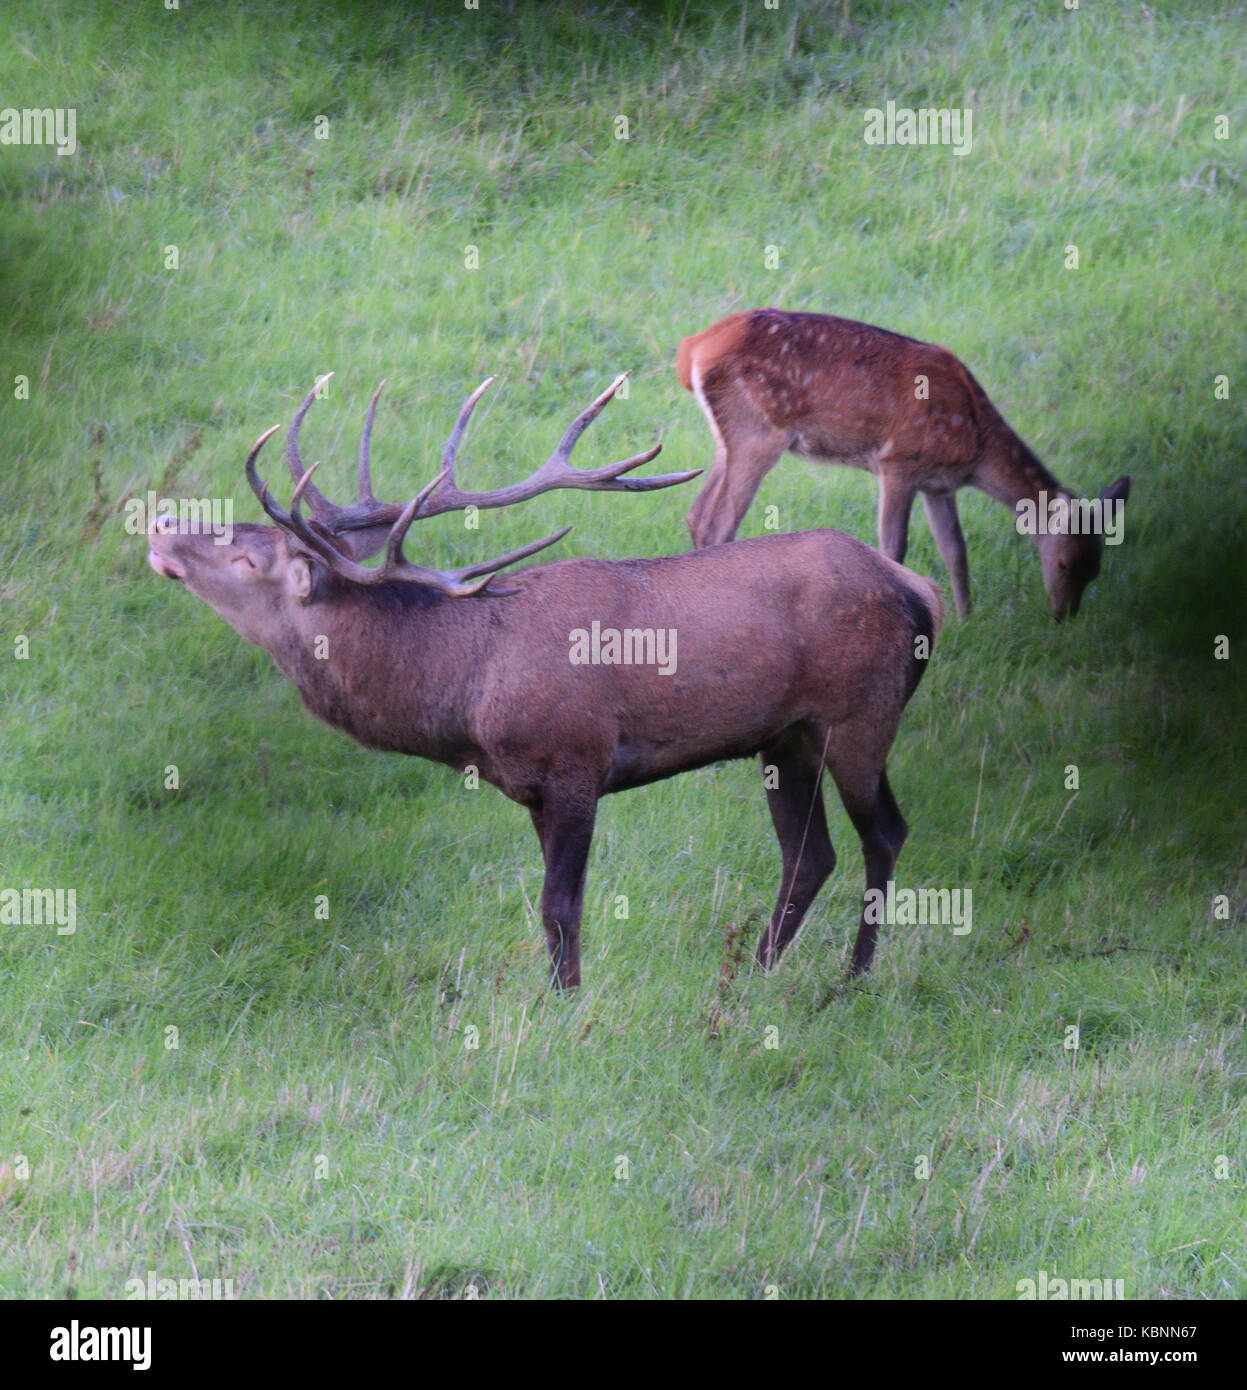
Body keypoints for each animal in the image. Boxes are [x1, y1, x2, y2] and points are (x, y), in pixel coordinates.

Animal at [147, 373, 942, 989]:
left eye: (250, 559)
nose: (158, 523)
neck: (467, 691)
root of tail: (919, 592)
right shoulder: (530, 787)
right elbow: (562, 914)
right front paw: (566, 994)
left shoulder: (575, 760)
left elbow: (558, 908)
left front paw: (559, 1007)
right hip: (784, 739)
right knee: (809, 855)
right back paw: (754, 973)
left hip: (860, 715)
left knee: (886, 833)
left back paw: (852, 977)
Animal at [679, 308, 1131, 620]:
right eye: (1064, 563)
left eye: (1096, 568)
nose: (1063, 617)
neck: (975, 444)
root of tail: (693, 349)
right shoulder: (899, 461)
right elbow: (894, 547)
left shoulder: (939, 484)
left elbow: (955, 550)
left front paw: (966, 618)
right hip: (759, 431)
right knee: (718, 523)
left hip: (729, 439)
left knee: (697, 514)